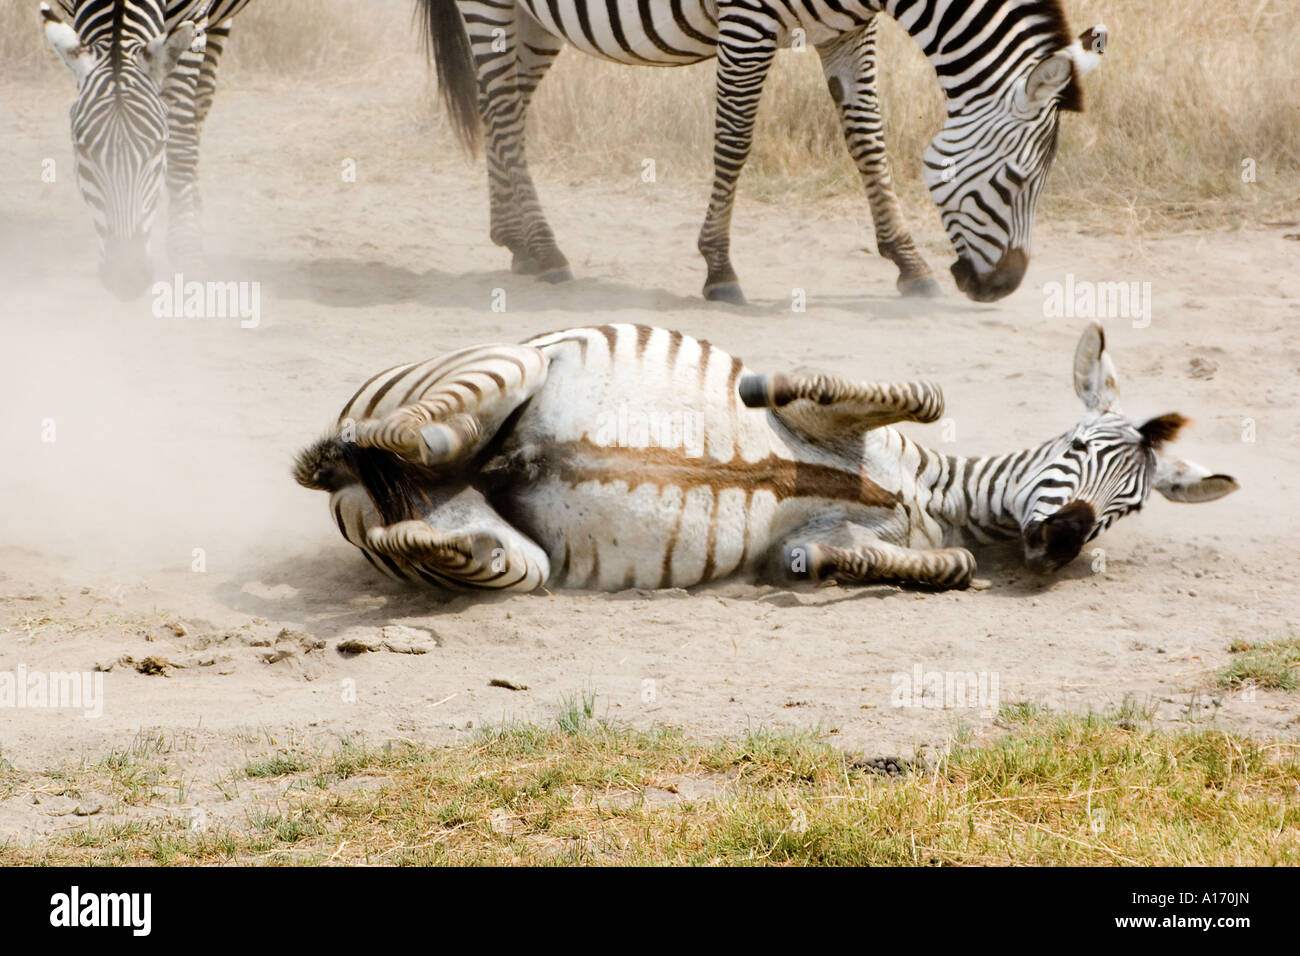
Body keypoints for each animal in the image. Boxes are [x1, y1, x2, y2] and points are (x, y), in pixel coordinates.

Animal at [41, 0, 250, 299]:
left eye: (157, 147)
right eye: (83, 149)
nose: (127, 278)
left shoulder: (194, 17)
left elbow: (180, 136)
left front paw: (187, 253)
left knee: (200, 102)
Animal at [293, 322, 1237, 592]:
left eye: (1128, 509)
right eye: (1075, 446)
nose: (1064, 539)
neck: (927, 492)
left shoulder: (866, 538)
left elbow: (951, 567)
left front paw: (819, 565)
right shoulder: (849, 414)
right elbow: (922, 389)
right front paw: (761, 384)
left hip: (515, 563)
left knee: (421, 532)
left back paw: (384, 484)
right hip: (510, 362)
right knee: (412, 430)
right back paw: (363, 443)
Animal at [415, 0, 1106, 304]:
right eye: (1016, 180)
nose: (1004, 287)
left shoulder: (849, 32)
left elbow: (868, 138)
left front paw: (908, 263)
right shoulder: (746, 23)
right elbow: (735, 139)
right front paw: (719, 268)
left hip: (534, 17)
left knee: (507, 109)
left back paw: (517, 240)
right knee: (501, 105)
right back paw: (543, 247)